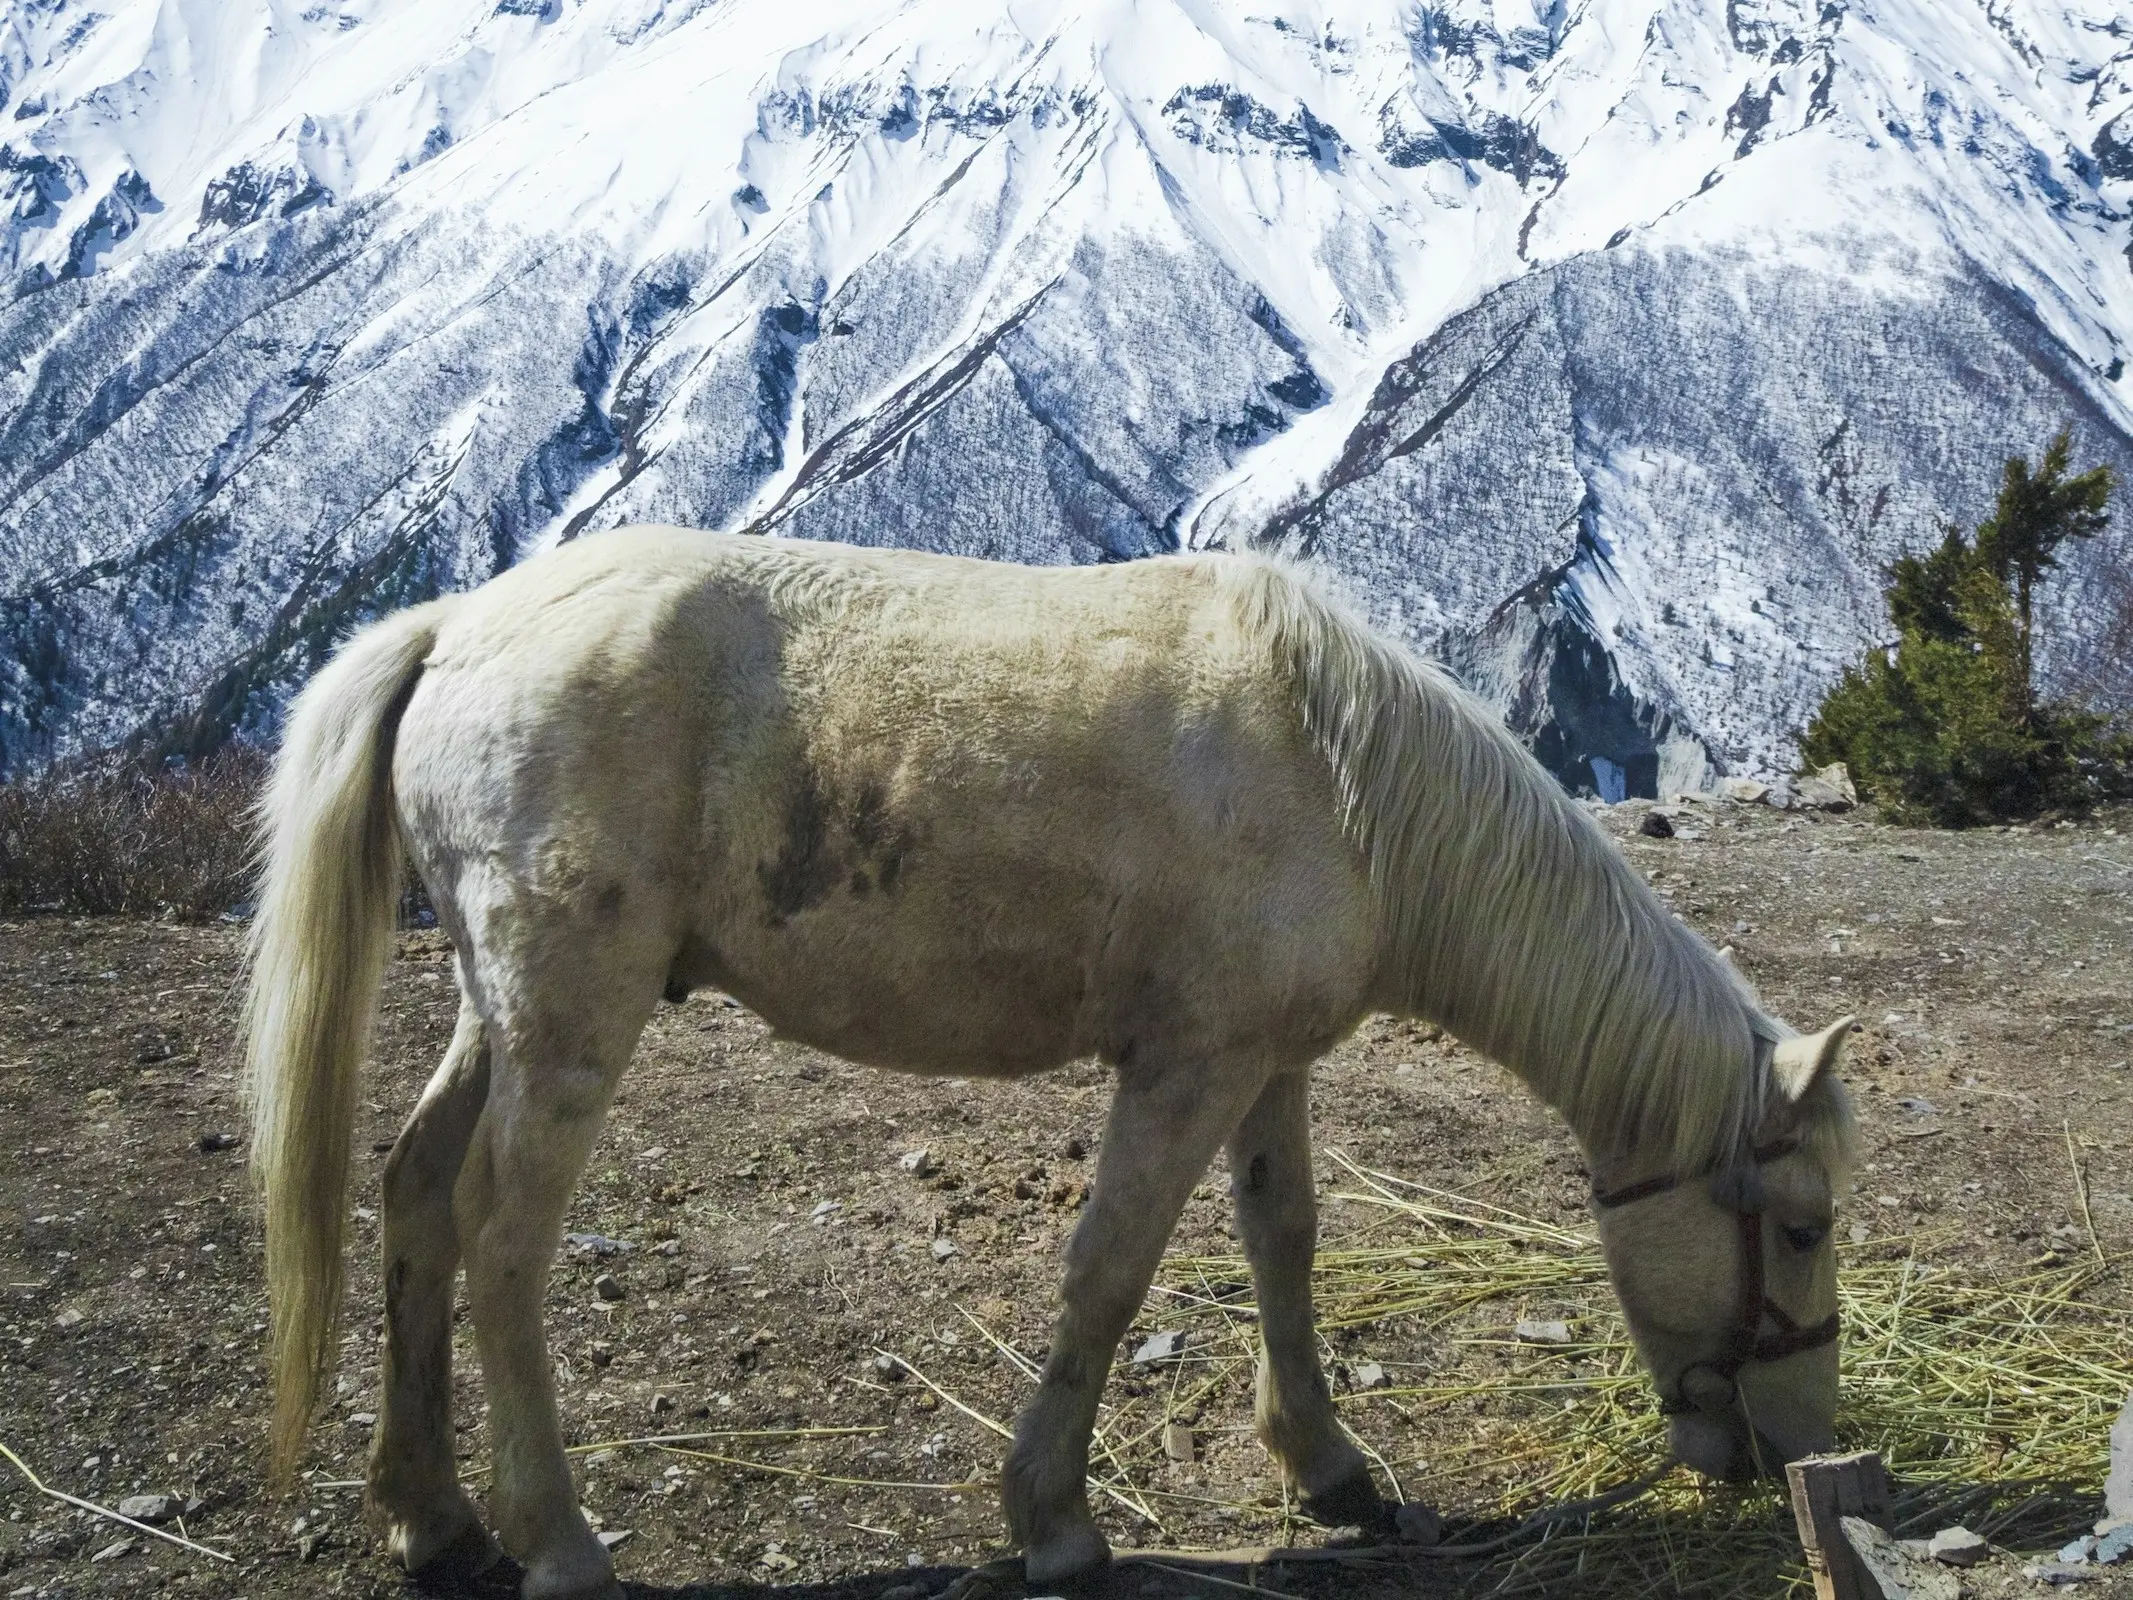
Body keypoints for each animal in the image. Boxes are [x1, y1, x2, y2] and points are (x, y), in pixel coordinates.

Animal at [243, 525, 1856, 1600]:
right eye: (1796, 1227)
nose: (1792, 1452)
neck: (1346, 785)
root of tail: (455, 625)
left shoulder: (1265, 1064)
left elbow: (1285, 1241)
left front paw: (1328, 1466)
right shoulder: (1185, 1068)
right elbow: (1111, 1272)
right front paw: (1056, 1520)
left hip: (491, 1009)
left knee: (414, 1194)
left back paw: (431, 1515)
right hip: (570, 1016)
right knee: (502, 1237)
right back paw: (559, 1540)